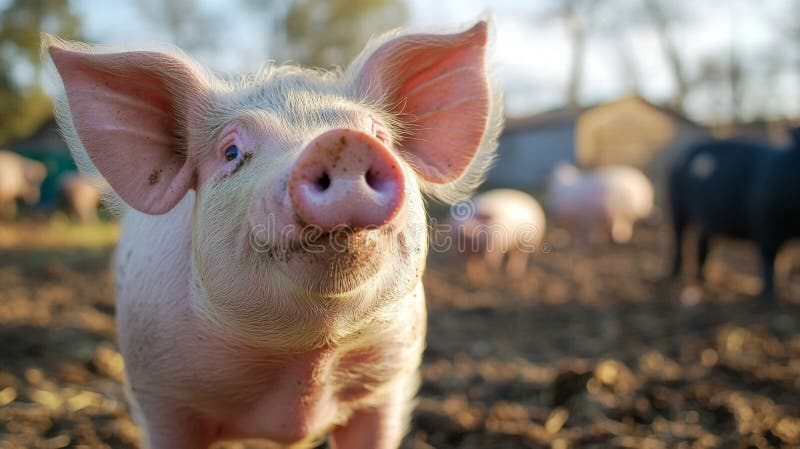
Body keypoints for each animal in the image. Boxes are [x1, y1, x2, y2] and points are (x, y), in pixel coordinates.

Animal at [44, 19, 501, 449]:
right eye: (231, 152)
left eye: (379, 135)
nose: (342, 142)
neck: (305, 359)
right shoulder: (159, 394)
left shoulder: (389, 385)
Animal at [669, 128, 800, 299]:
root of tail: (682, 153)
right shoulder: (765, 223)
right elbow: (770, 259)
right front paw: (768, 297)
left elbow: (784, 260)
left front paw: (785, 291)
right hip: (676, 205)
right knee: (679, 235)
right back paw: (675, 275)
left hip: (709, 220)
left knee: (704, 241)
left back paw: (704, 279)